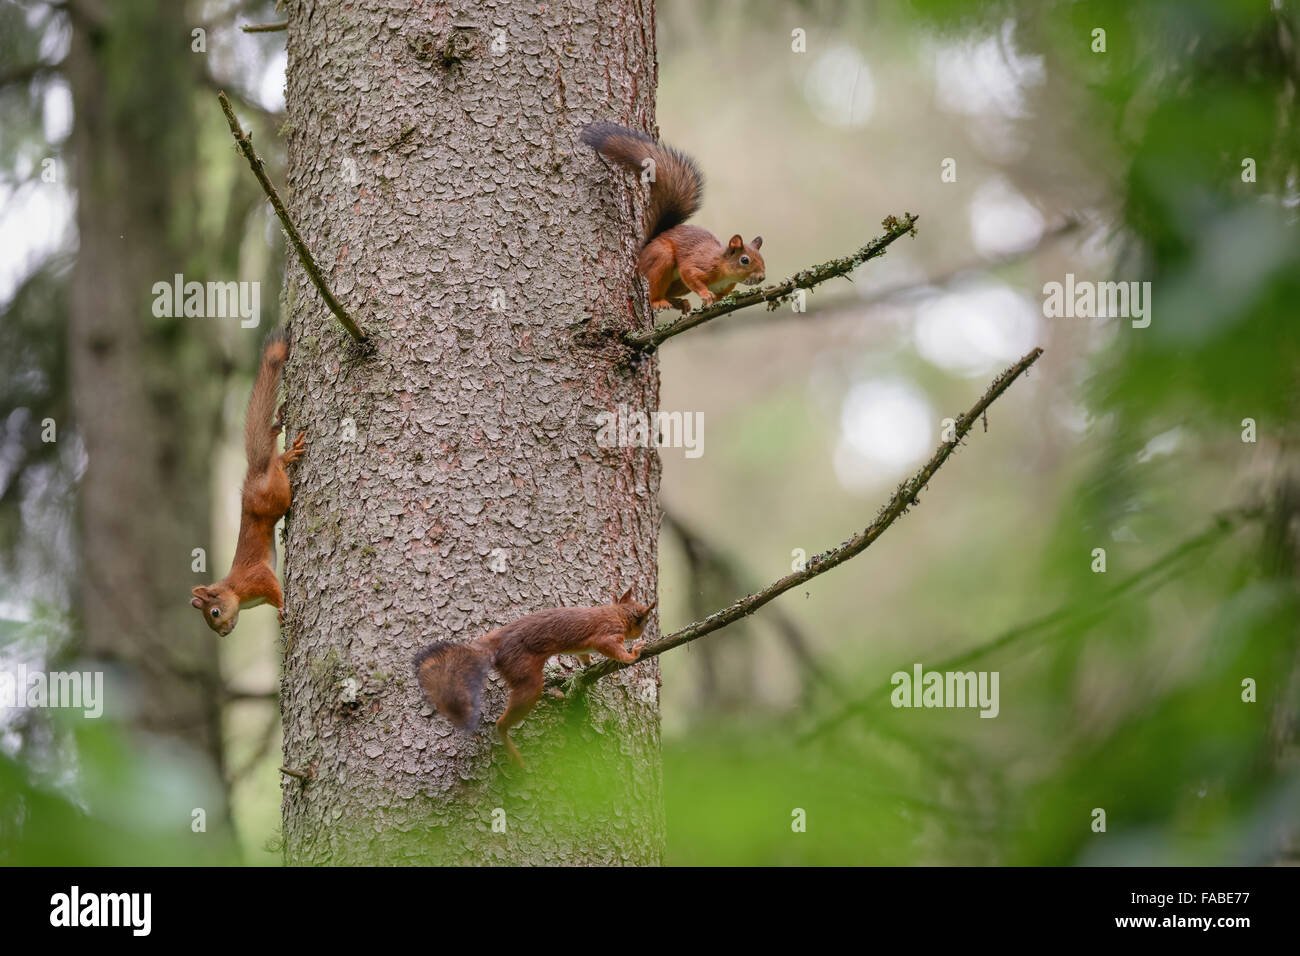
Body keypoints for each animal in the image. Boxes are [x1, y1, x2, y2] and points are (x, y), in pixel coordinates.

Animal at [190, 330, 305, 636]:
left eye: (214, 612)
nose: (223, 633)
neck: (236, 592)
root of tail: (254, 476)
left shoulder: (256, 578)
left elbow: (274, 589)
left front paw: (282, 611)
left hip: (274, 496)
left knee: (277, 470)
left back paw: (285, 456)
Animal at [414, 588, 657, 766]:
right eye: (645, 620)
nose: (643, 632)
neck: (617, 613)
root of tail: (497, 642)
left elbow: (584, 655)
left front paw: (588, 664)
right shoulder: (606, 634)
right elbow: (610, 647)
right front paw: (632, 654)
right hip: (524, 672)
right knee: (506, 719)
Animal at [580, 121, 766, 314]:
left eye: (762, 258)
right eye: (744, 260)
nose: (762, 277)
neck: (724, 269)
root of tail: (643, 253)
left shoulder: (723, 288)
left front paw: (716, 302)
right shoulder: (700, 265)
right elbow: (690, 273)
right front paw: (706, 295)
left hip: (678, 284)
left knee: (669, 292)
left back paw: (679, 303)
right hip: (662, 258)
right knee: (654, 290)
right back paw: (657, 301)